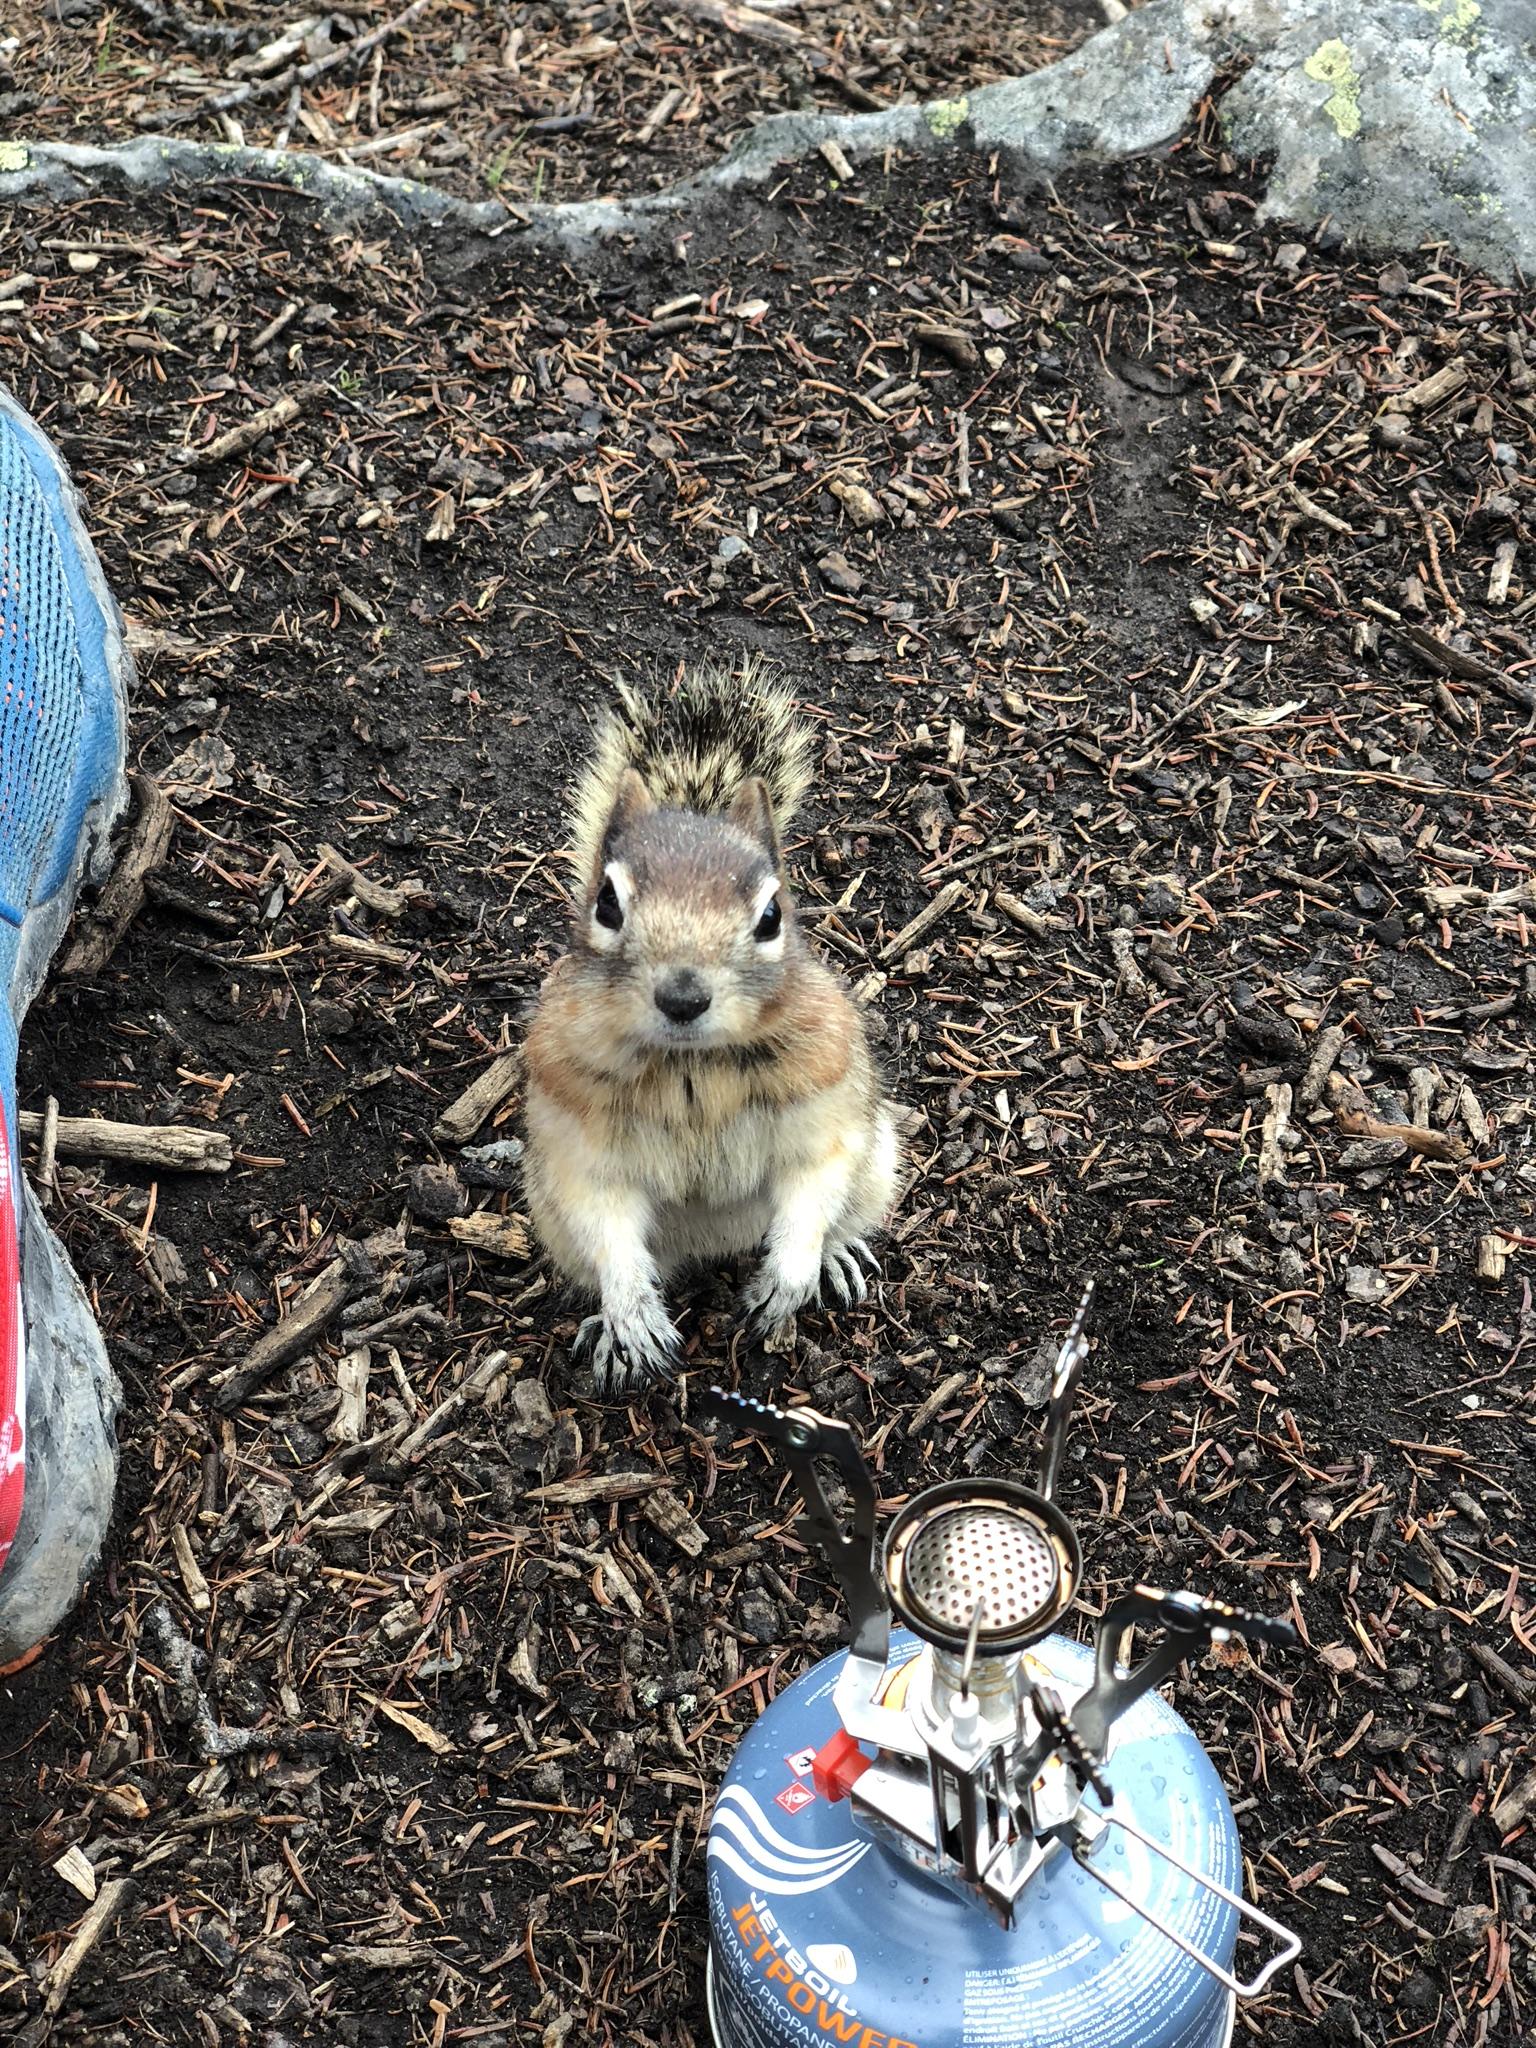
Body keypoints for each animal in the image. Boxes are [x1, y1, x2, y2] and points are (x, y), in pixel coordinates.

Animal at [523, 660, 899, 1394]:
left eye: (772, 916)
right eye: (605, 904)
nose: (682, 996)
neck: (692, 1066)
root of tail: (714, 1246)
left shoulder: (824, 1106)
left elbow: (815, 1182)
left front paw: (788, 1280)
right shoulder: (578, 1142)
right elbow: (604, 1216)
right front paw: (632, 1314)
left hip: (881, 1164)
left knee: (845, 1211)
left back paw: (836, 1256)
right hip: (548, 1218)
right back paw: (607, 1328)